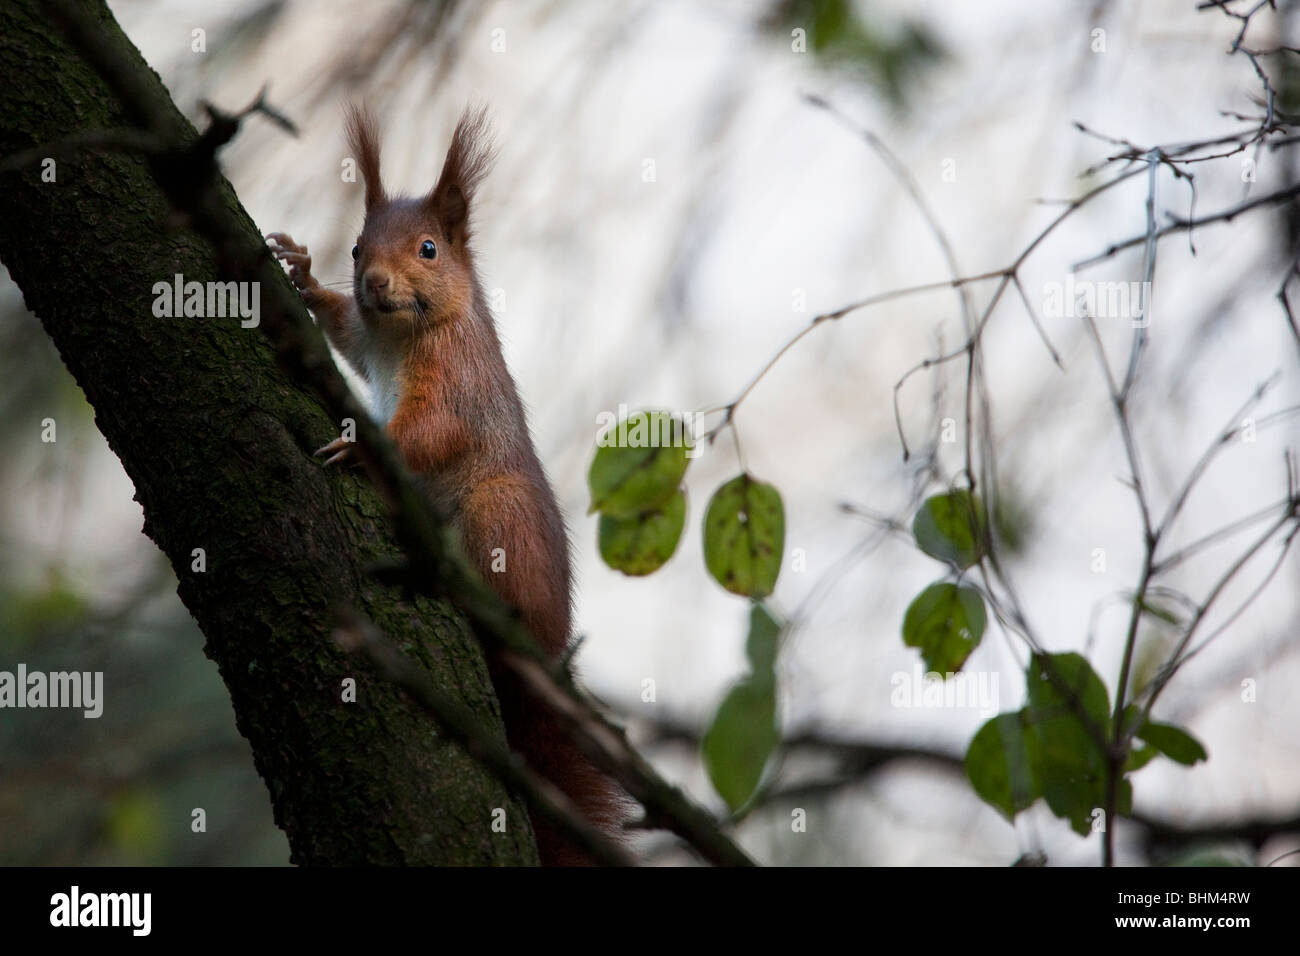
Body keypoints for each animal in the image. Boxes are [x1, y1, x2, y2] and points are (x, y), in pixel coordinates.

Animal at [267, 105, 624, 865]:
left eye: (429, 249)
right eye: (355, 250)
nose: (375, 283)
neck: (404, 332)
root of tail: (548, 652)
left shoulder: (458, 383)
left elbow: (432, 432)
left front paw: (360, 446)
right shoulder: (368, 341)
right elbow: (344, 333)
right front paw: (303, 276)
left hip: (499, 517)